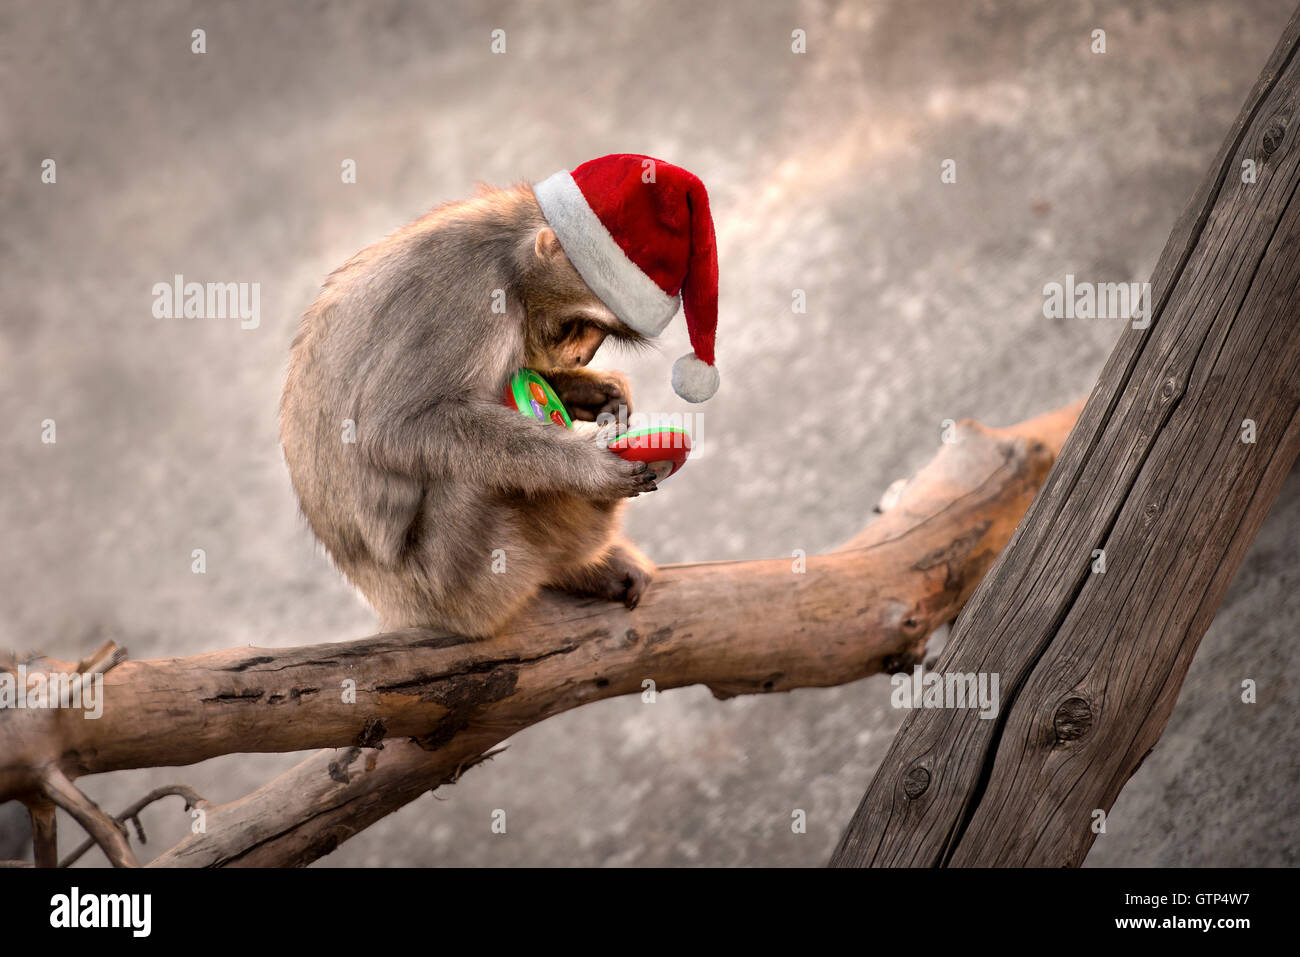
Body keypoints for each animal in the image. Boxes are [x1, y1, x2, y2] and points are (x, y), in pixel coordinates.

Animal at [279, 181, 661, 639]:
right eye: (583, 325)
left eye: (600, 332)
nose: (582, 357)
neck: (509, 262)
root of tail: (404, 609)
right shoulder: (470, 295)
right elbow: (392, 430)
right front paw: (588, 464)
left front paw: (591, 393)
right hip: (466, 577)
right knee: (467, 475)